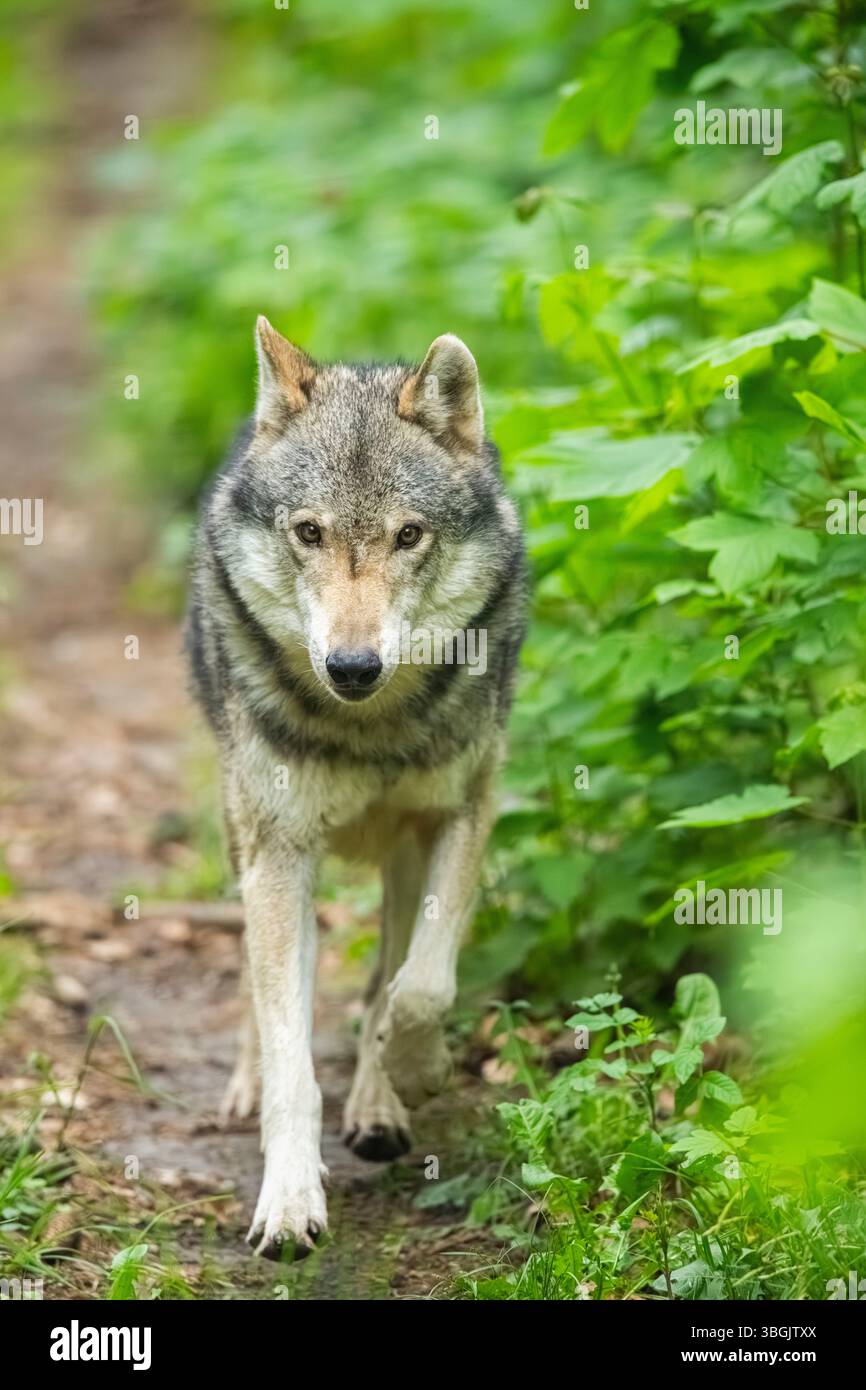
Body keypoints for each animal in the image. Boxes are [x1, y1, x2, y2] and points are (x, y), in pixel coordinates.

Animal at [186, 318, 526, 1258]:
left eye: (410, 536)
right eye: (308, 532)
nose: (352, 666)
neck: (368, 730)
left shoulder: (462, 814)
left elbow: (419, 989)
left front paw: (421, 1069)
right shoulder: (280, 854)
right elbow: (293, 1058)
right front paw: (289, 1200)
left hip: (402, 858)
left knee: (385, 976)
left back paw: (379, 1105)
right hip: (245, 835)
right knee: (258, 992)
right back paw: (245, 1084)